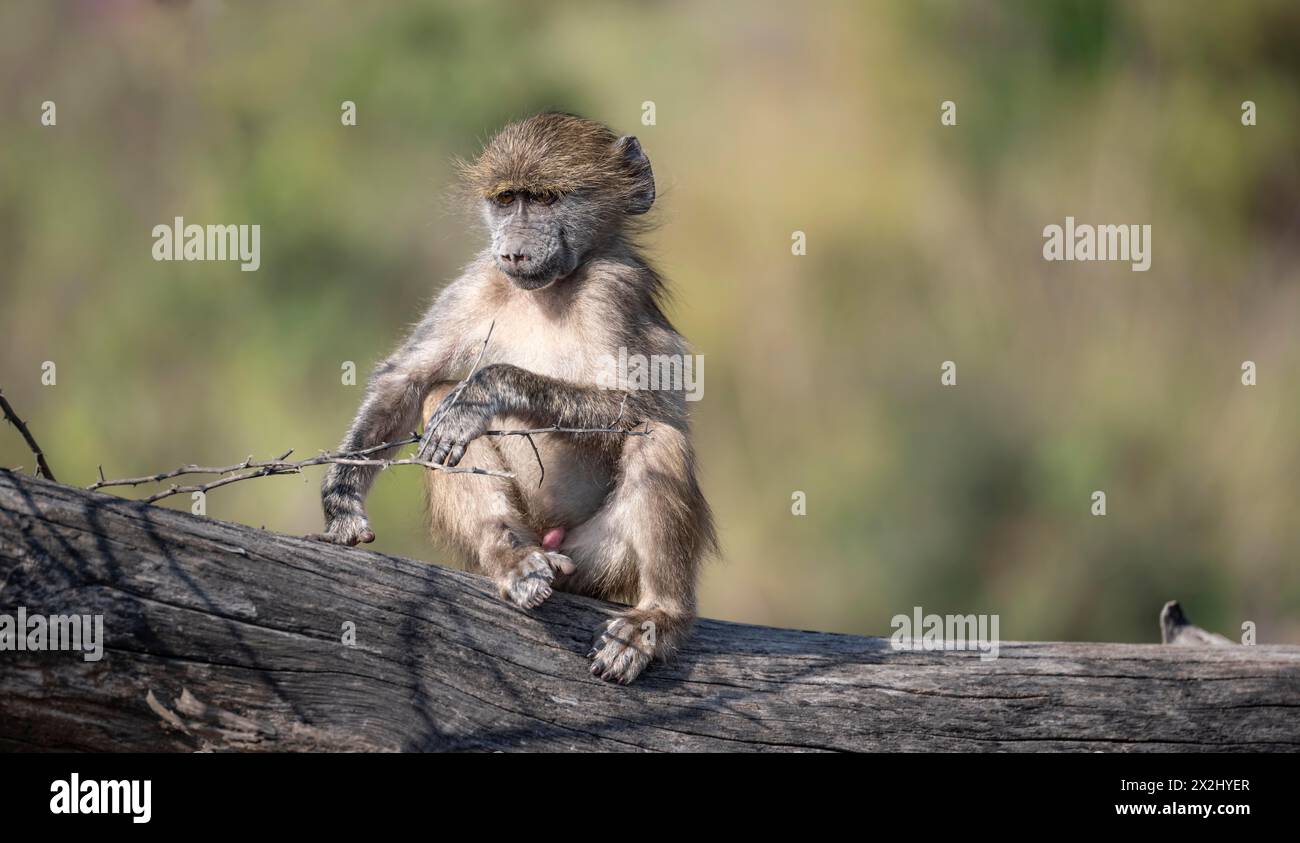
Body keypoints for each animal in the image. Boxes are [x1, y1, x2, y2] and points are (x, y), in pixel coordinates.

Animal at [313, 112, 715, 684]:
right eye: (507, 200)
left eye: (546, 198)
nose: (513, 251)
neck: (549, 290)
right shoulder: (477, 279)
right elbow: (406, 379)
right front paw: (341, 501)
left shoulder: (614, 289)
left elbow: (641, 408)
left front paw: (487, 388)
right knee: (438, 402)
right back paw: (514, 562)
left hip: (600, 558)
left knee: (657, 439)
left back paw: (658, 618)